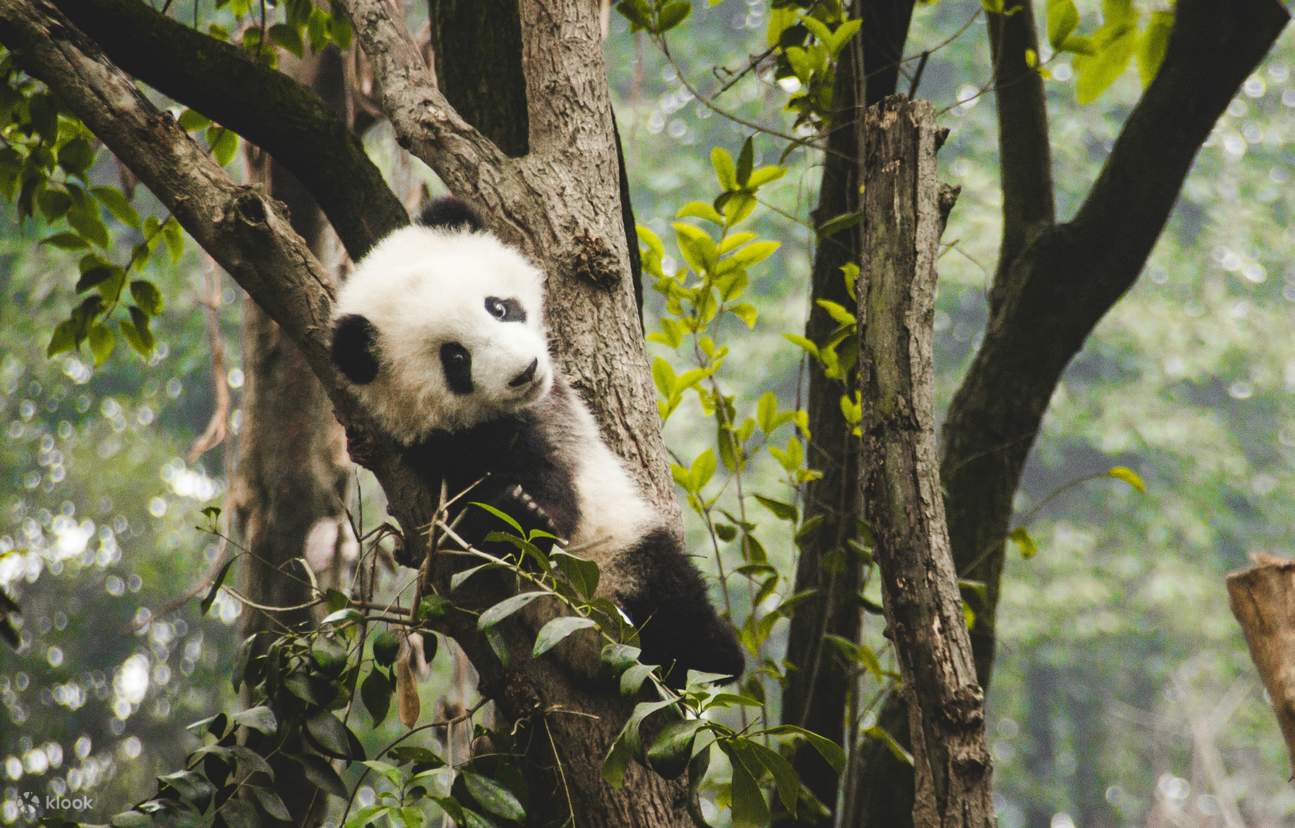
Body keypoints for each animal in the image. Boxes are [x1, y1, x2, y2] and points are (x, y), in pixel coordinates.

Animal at [329, 197, 744, 685]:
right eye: (455, 358)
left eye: (498, 307)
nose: (524, 371)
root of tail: (597, 644)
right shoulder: (442, 447)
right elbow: (503, 509)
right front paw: (520, 510)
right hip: (617, 565)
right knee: (672, 594)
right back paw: (719, 653)